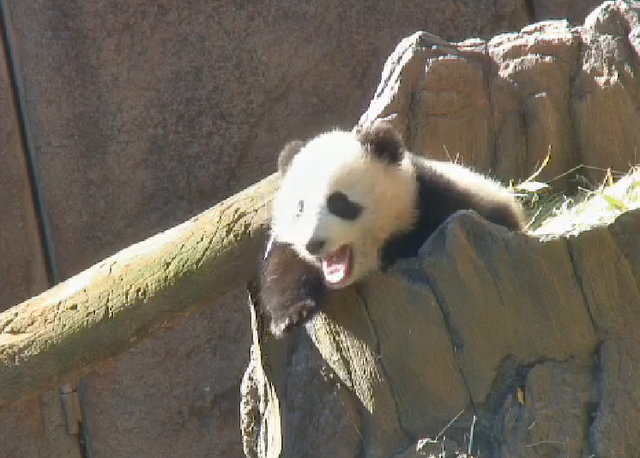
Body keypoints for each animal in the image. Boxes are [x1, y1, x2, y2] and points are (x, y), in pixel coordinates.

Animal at [260, 121, 524, 337]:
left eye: (339, 202)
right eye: (300, 207)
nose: (314, 244)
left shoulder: (433, 198)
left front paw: (392, 251)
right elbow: (283, 267)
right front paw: (291, 316)